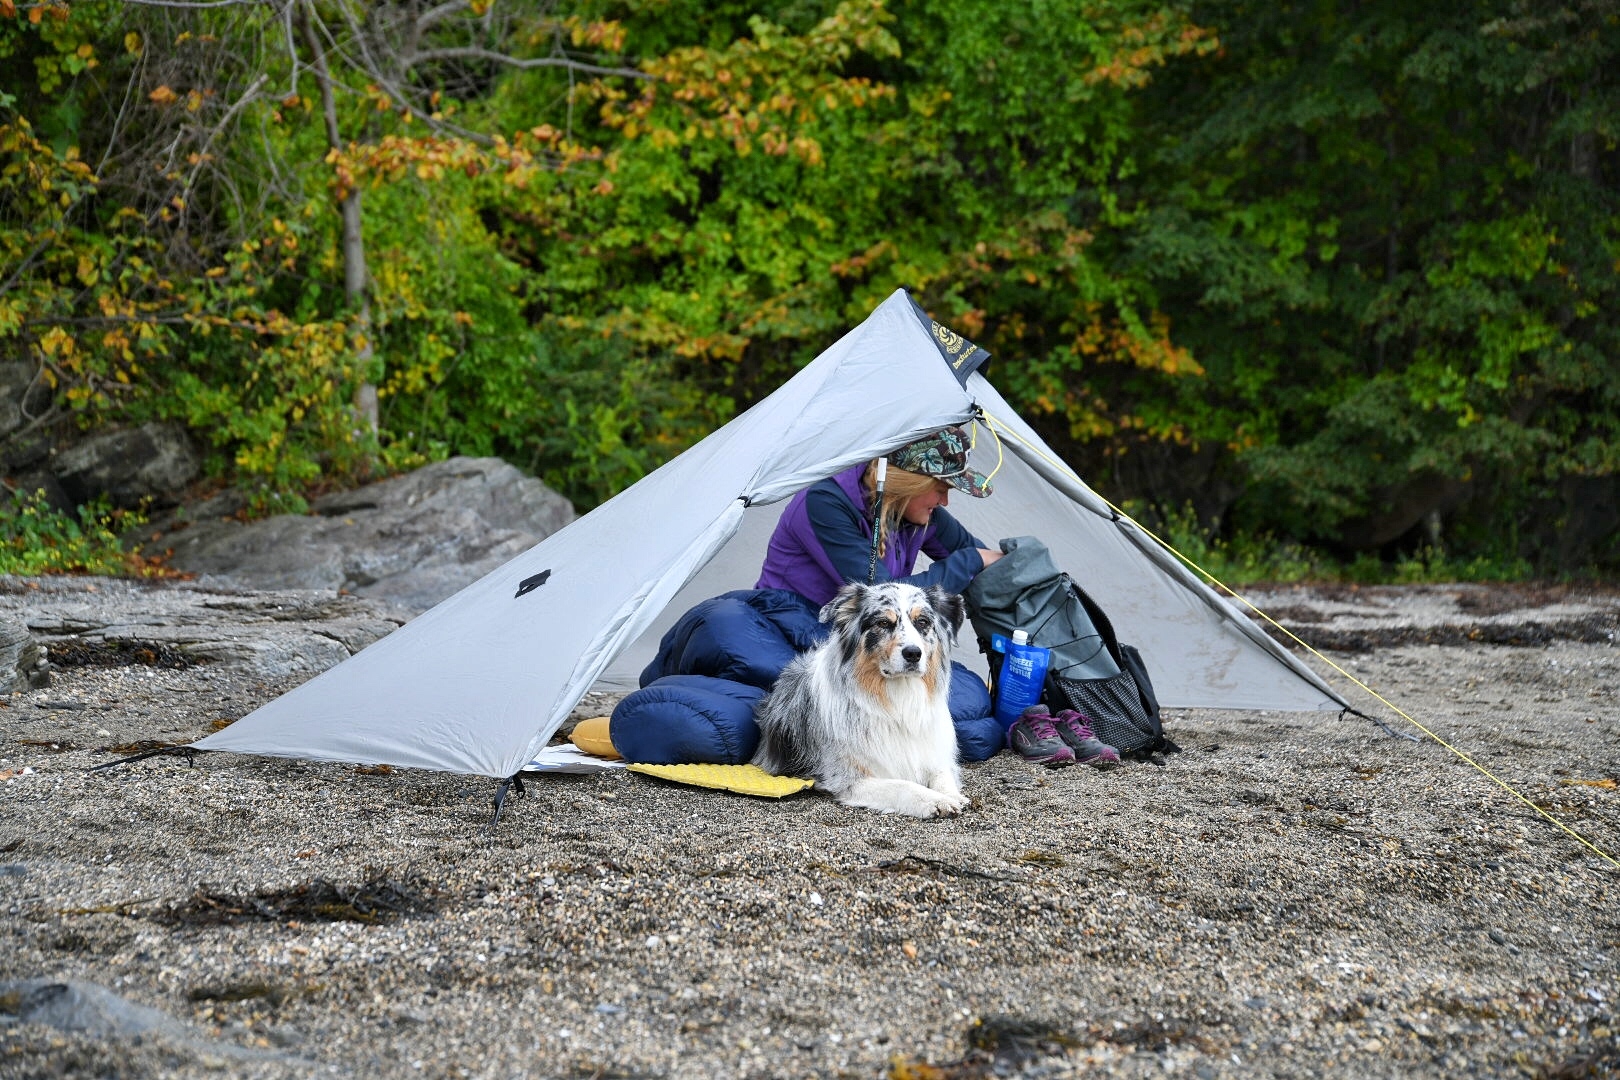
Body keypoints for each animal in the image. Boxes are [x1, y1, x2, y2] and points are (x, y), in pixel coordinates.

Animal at [751, 582, 965, 819]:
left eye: (923, 622)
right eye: (883, 623)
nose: (913, 653)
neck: (899, 699)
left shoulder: (932, 755)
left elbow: (942, 775)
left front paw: (952, 795)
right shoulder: (848, 778)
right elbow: (901, 785)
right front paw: (935, 800)